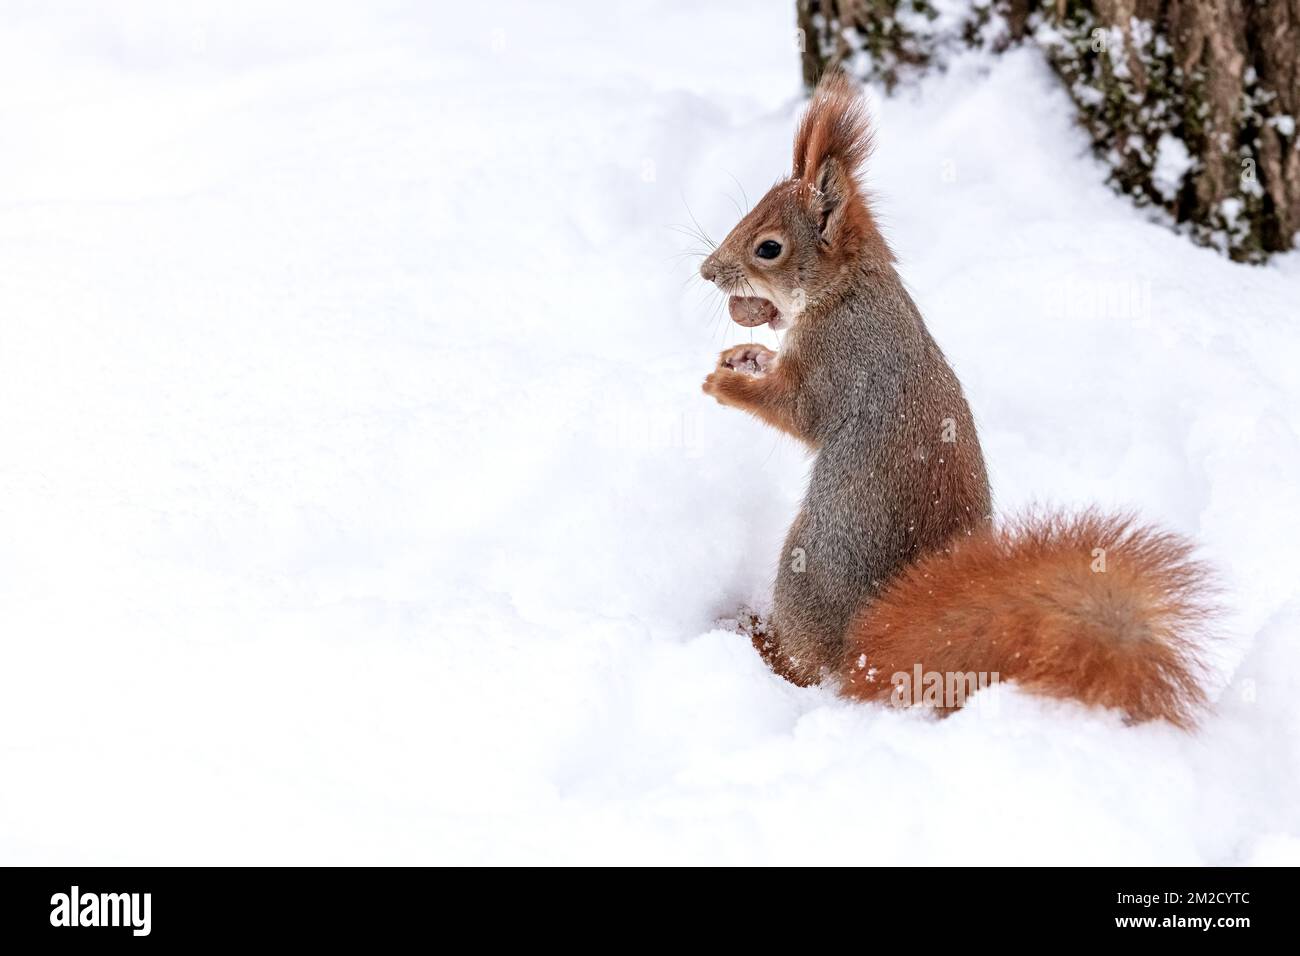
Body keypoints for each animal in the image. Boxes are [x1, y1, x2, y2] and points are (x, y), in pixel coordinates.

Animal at [699, 72, 1214, 727]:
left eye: (769, 248)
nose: (707, 271)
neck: (848, 290)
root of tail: (862, 653)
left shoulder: (839, 363)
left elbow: (797, 410)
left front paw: (728, 384)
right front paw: (745, 355)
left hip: (807, 560)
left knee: (804, 667)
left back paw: (761, 640)